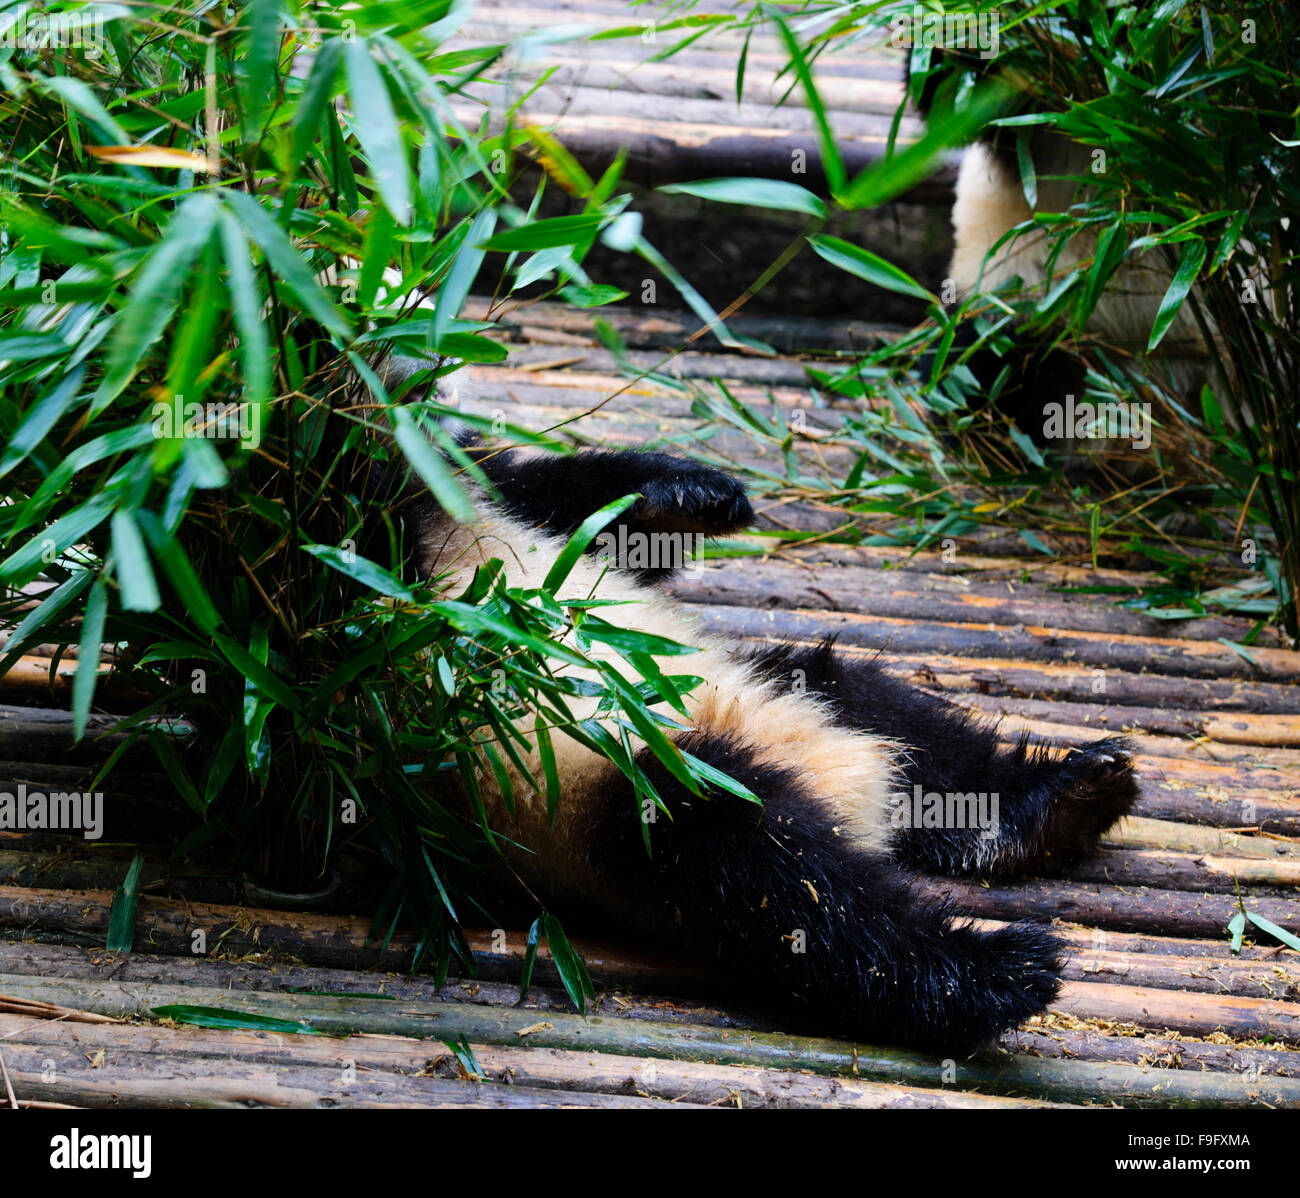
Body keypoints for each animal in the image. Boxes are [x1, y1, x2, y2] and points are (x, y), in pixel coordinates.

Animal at [378, 411, 1140, 1052]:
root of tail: (844, 790)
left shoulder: (475, 486)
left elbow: (560, 502)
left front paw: (693, 492)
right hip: (583, 795)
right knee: (770, 867)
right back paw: (986, 971)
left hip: (771, 688)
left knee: (877, 708)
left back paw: (1055, 801)